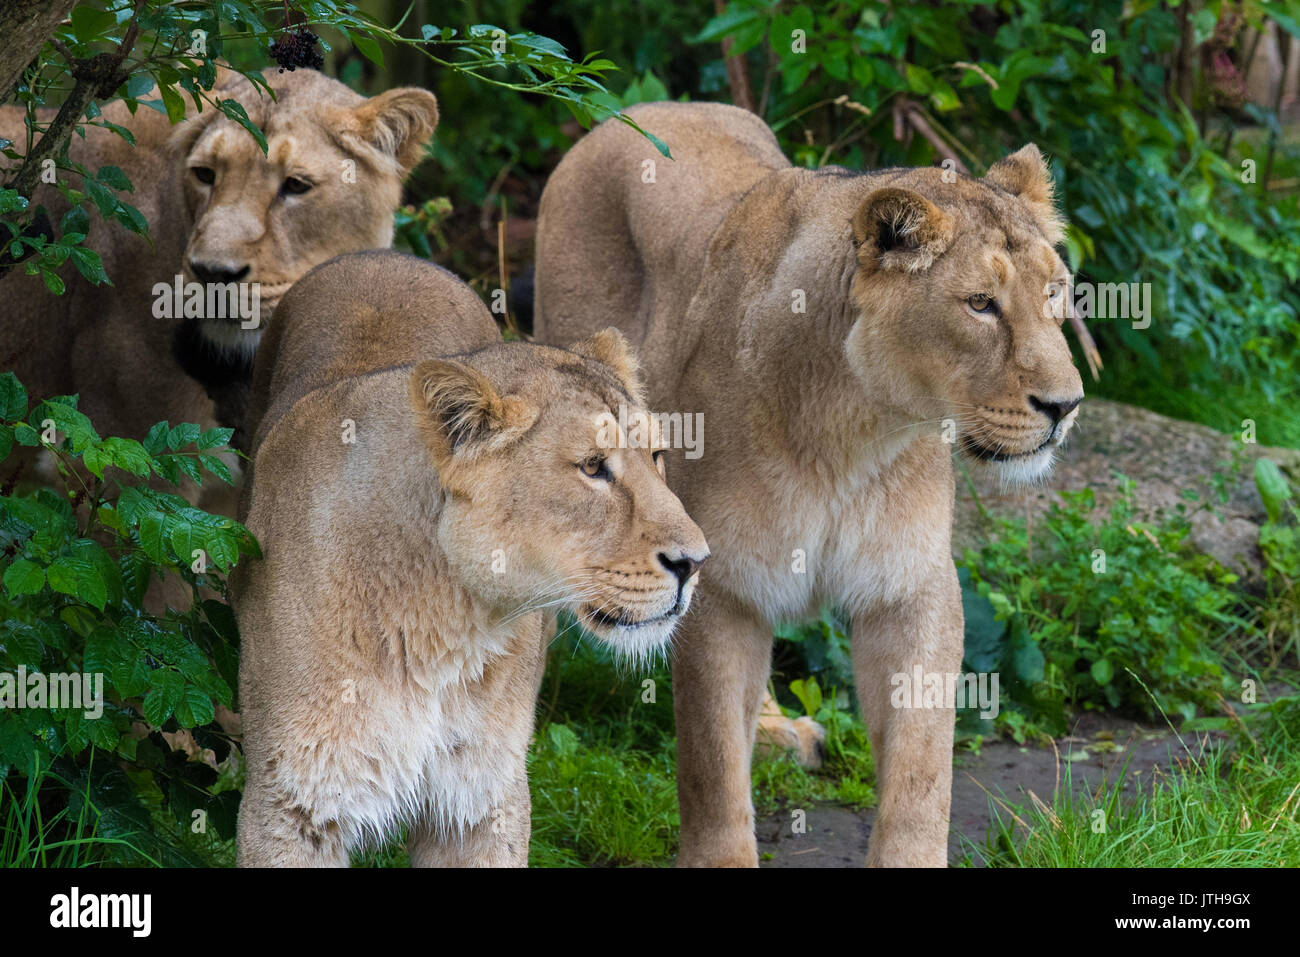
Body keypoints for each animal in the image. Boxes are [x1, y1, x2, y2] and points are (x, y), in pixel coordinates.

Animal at [232, 250, 709, 867]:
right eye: (592, 467)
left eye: (657, 456)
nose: (695, 562)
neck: (445, 625)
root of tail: (383, 255)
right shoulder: (289, 805)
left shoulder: (482, 799)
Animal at [534, 101, 1084, 867]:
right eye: (980, 304)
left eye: (1055, 294)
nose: (1066, 406)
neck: (853, 431)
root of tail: (640, 109)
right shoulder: (718, 582)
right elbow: (710, 760)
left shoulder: (910, 587)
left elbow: (921, 768)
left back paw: (773, 731)